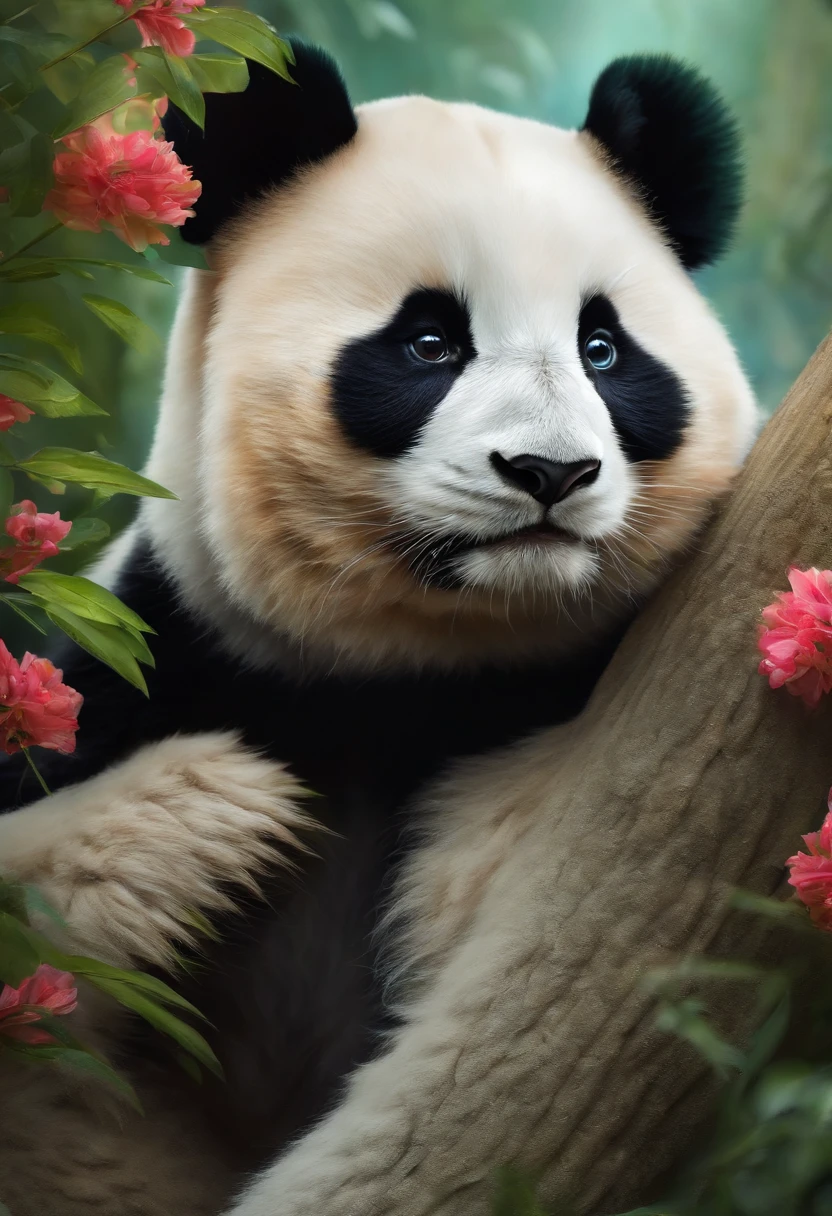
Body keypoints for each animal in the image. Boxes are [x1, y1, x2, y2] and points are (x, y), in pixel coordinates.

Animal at [0, 42, 757, 1216]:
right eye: (430, 341)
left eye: (602, 348)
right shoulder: (162, 649)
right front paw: (222, 813)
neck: (414, 659)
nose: (549, 473)